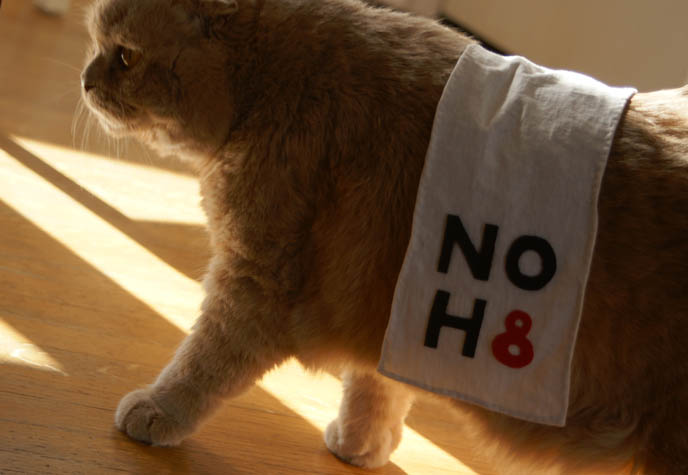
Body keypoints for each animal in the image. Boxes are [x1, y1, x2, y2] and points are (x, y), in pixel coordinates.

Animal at [81, 0, 688, 473]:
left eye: (124, 55)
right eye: (94, 43)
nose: (84, 80)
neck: (280, 80)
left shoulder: (257, 284)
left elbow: (199, 365)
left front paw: (157, 411)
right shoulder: (392, 306)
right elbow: (374, 392)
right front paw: (360, 448)